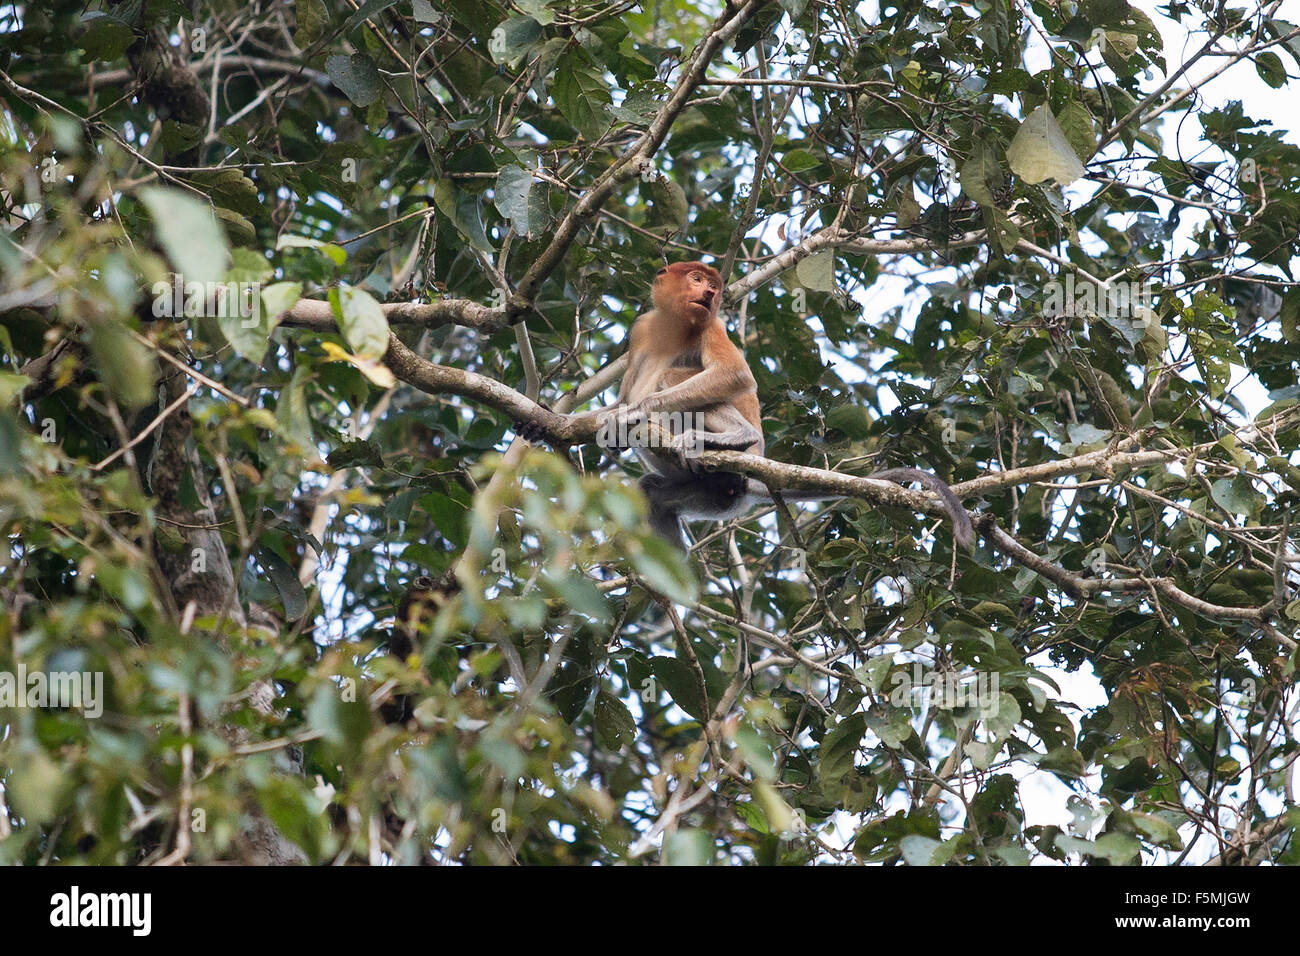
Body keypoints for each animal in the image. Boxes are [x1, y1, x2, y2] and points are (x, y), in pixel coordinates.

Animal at [519, 259, 974, 552]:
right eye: (697, 279)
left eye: (714, 288)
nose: (708, 292)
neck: (673, 324)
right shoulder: (641, 329)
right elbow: (620, 394)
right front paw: (546, 422)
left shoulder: (711, 325)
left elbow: (734, 376)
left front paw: (633, 412)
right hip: (710, 494)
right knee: (653, 491)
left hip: (736, 471)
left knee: (677, 379)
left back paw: (734, 439)